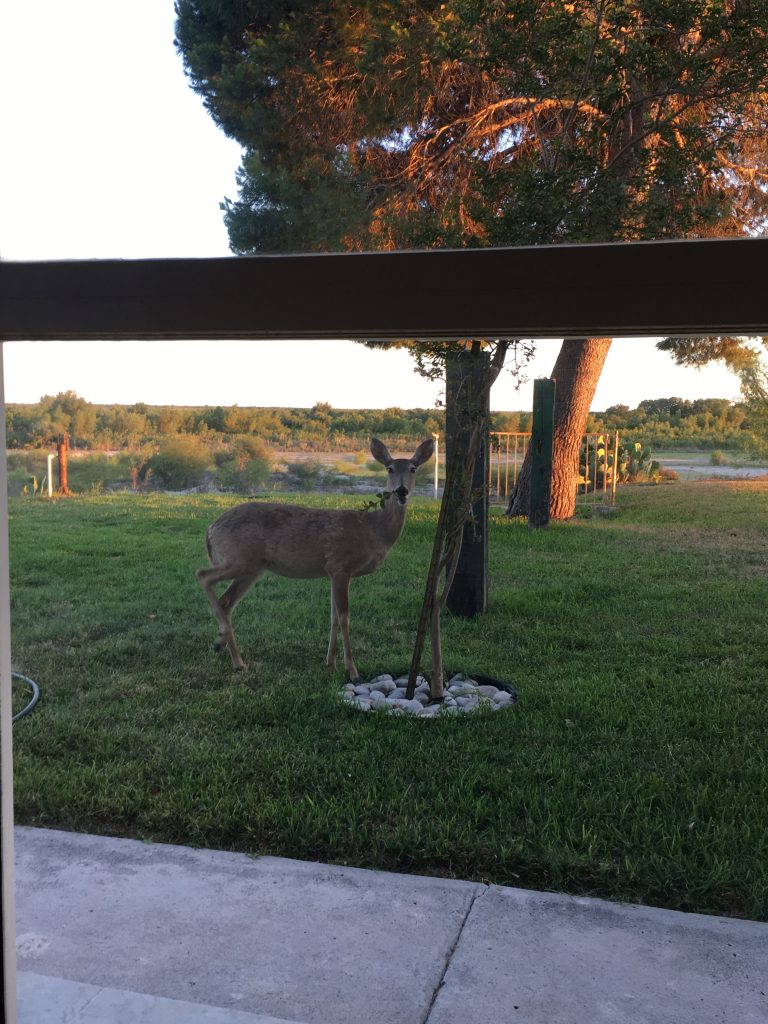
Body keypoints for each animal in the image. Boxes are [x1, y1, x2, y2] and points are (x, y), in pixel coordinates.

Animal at [196, 437, 435, 677]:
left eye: (413, 468)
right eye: (389, 468)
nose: (401, 491)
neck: (374, 530)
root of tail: (211, 528)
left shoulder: (332, 572)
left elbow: (334, 616)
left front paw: (330, 662)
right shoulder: (340, 565)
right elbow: (345, 616)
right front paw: (352, 669)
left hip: (252, 568)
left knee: (226, 601)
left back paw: (234, 657)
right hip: (240, 558)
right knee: (203, 575)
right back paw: (224, 644)